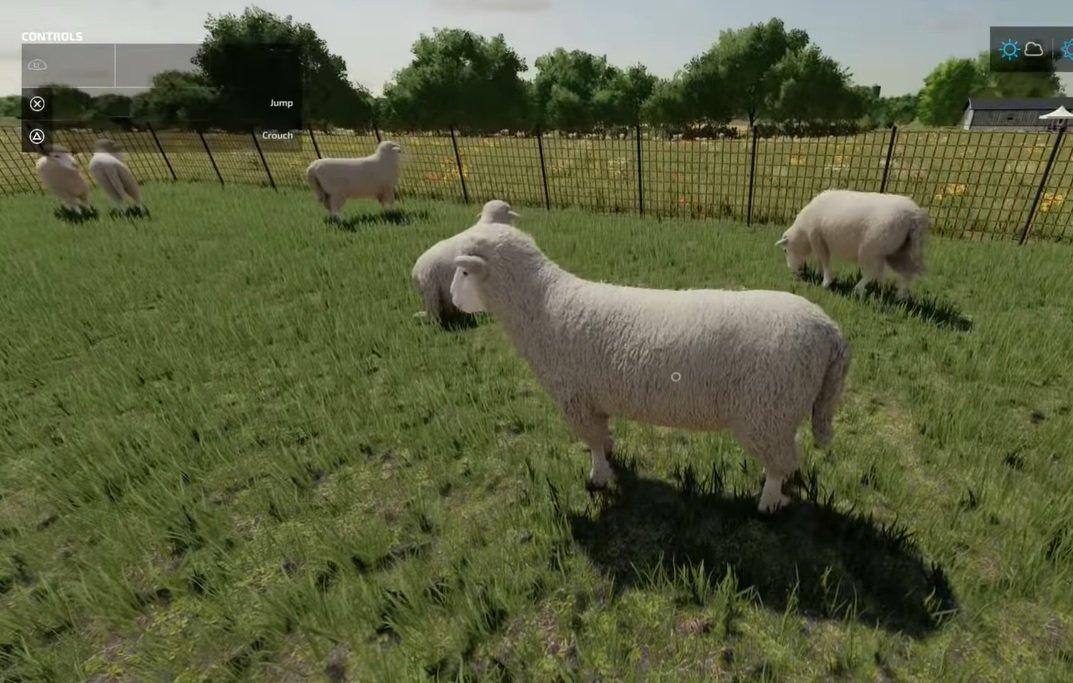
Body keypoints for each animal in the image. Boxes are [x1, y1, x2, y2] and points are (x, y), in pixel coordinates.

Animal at [449, 222, 851, 513]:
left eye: (465, 274)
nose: (452, 299)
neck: (544, 307)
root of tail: (829, 330)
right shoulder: (594, 398)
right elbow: (602, 436)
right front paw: (609, 457)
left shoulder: (575, 398)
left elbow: (591, 443)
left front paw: (597, 477)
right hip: (781, 410)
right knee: (789, 454)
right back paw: (785, 486)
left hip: (767, 408)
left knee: (779, 460)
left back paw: (769, 501)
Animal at [776, 189, 929, 300]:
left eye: (785, 250)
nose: (793, 271)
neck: (803, 234)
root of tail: (914, 216)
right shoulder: (820, 241)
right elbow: (820, 259)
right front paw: (820, 274)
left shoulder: (817, 238)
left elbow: (824, 260)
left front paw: (826, 282)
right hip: (900, 250)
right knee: (907, 274)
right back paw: (900, 296)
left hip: (872, 248)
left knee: (874, 272)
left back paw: (858, 289)